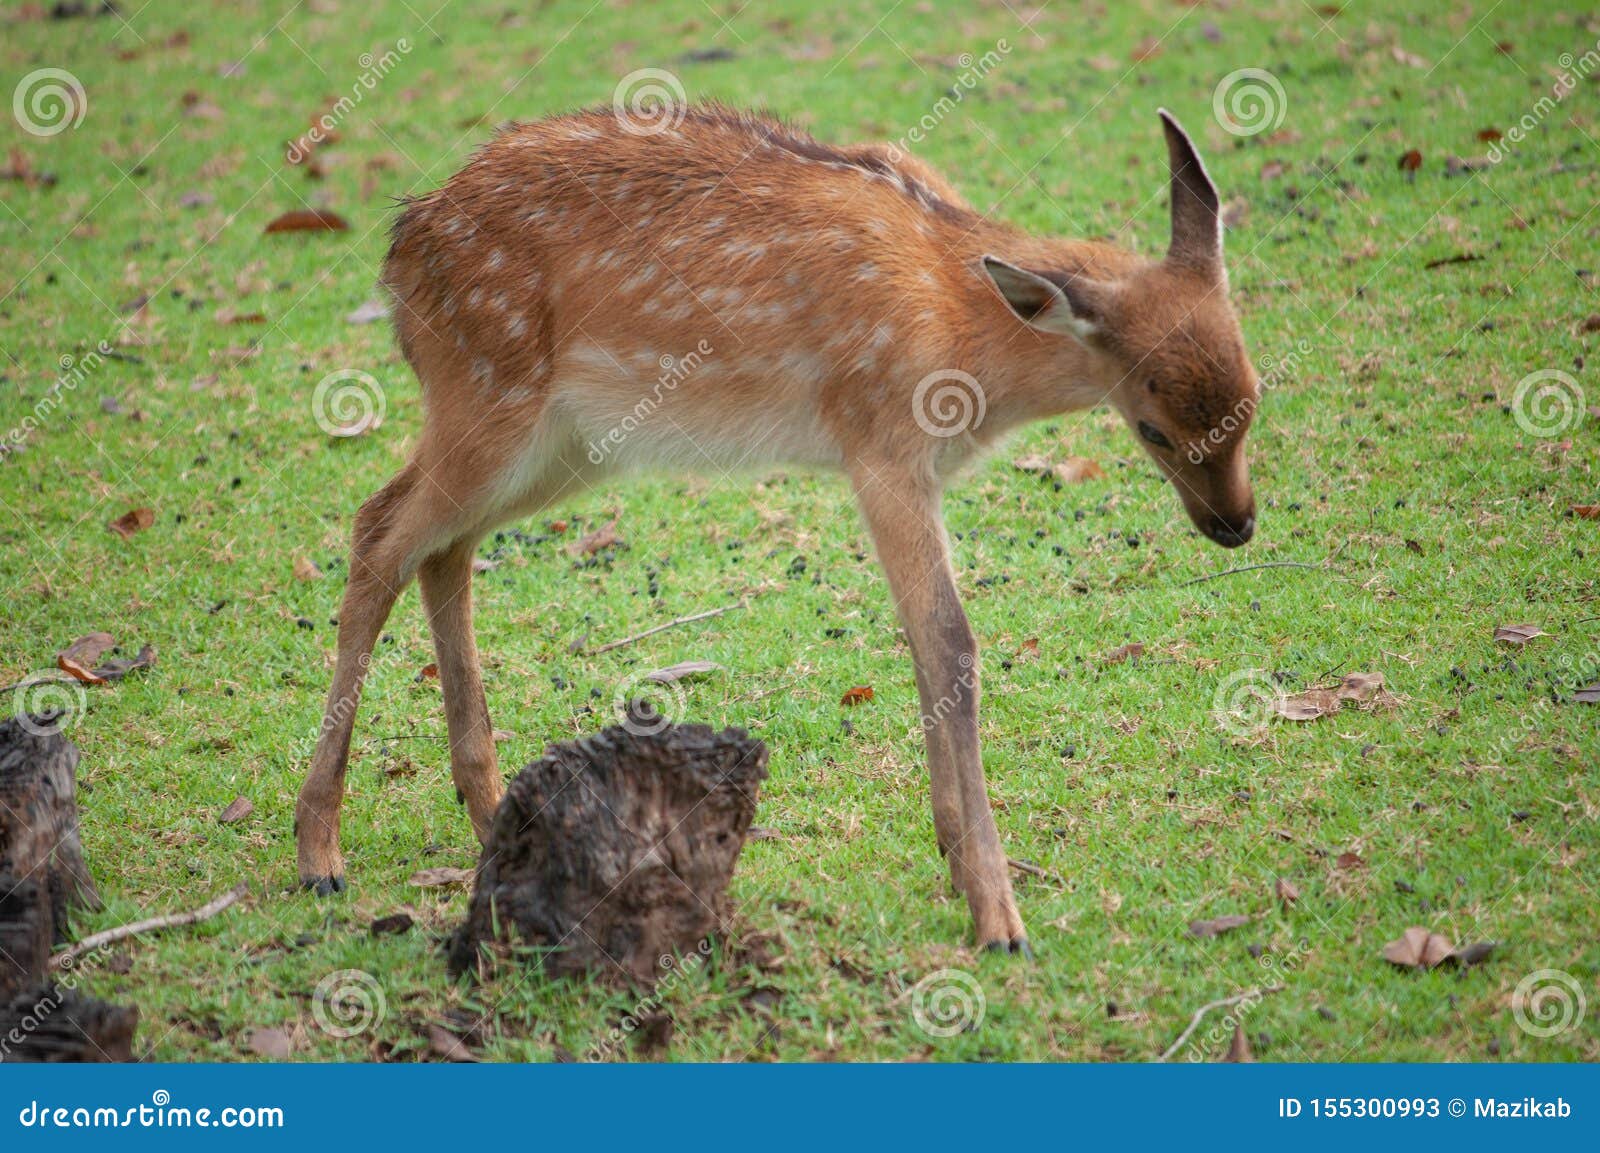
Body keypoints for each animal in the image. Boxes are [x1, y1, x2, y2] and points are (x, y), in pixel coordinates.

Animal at [295, 102, 1259, 956]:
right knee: (378, 528)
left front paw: (955, 861)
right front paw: (998, 916)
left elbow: (923, 641)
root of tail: (399, 251)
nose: (1235, 525)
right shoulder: (882, 448)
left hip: (566, 443)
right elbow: (951, 640)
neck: (962, 319)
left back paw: (491, 814)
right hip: (487, 389)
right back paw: (320, 855)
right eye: (1154, 428)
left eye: (1254, 399)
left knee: (440, 546)